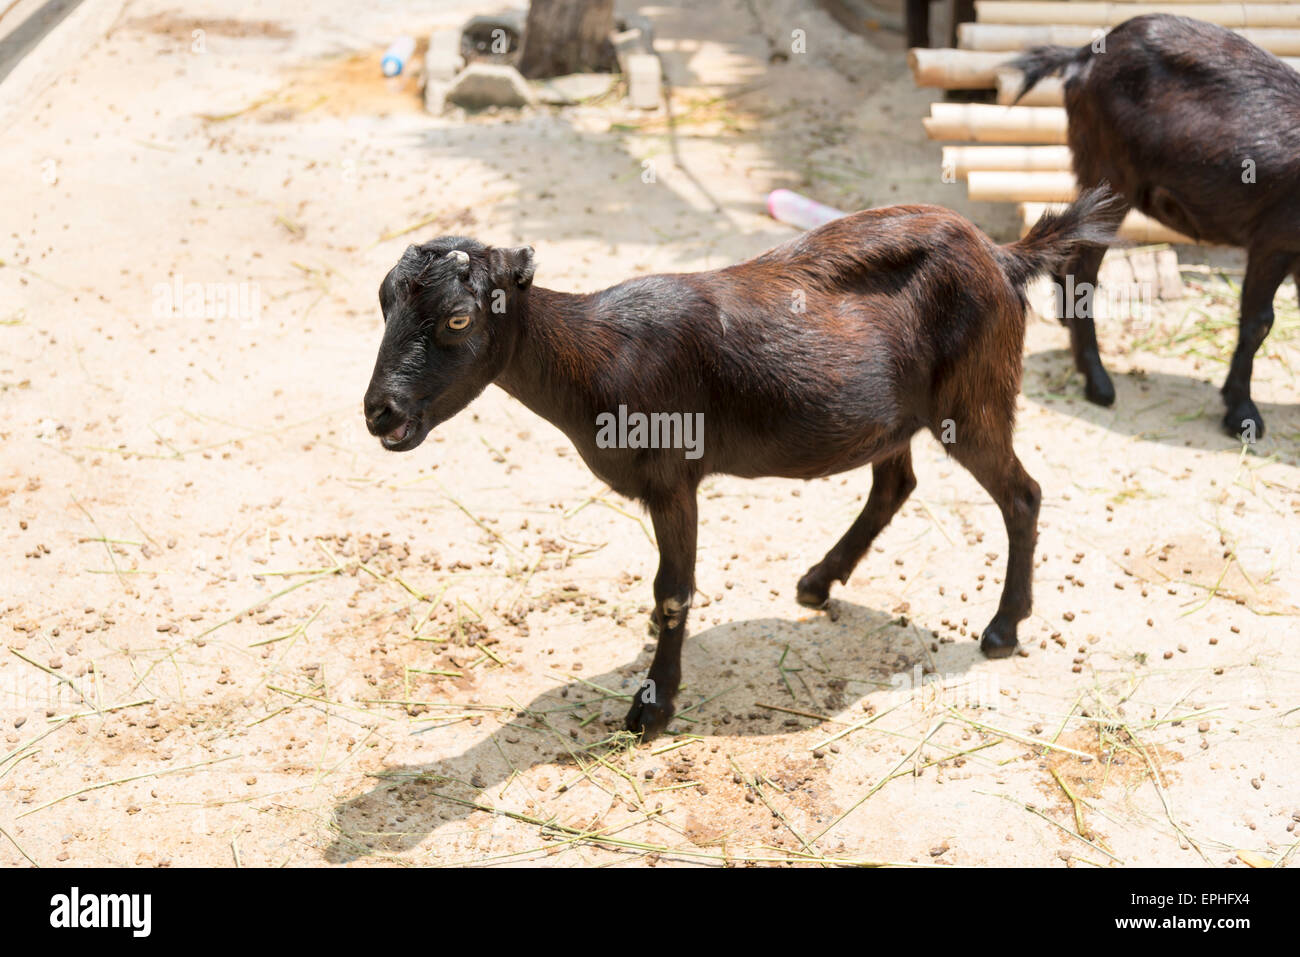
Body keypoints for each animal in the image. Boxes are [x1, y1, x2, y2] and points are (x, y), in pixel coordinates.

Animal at [362, 189, 1119, 739]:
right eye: (383, 301)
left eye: (458, 319)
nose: (381, 413)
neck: (600, 358)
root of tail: (1004, 255)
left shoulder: (672, 476)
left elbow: (673, 590)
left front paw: (652, 708)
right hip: (893, 416)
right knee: (896, 483)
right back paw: (819, 582)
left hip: (976, 397)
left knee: (1021, 493)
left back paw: (1003, 628)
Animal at [1012, 14, 1300, 439]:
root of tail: (1085, 56)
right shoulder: (1275, 240)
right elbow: (1258, 322)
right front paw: (1242, 413)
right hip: (1110, 178)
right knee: (1082, 270)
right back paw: (1098, 383)